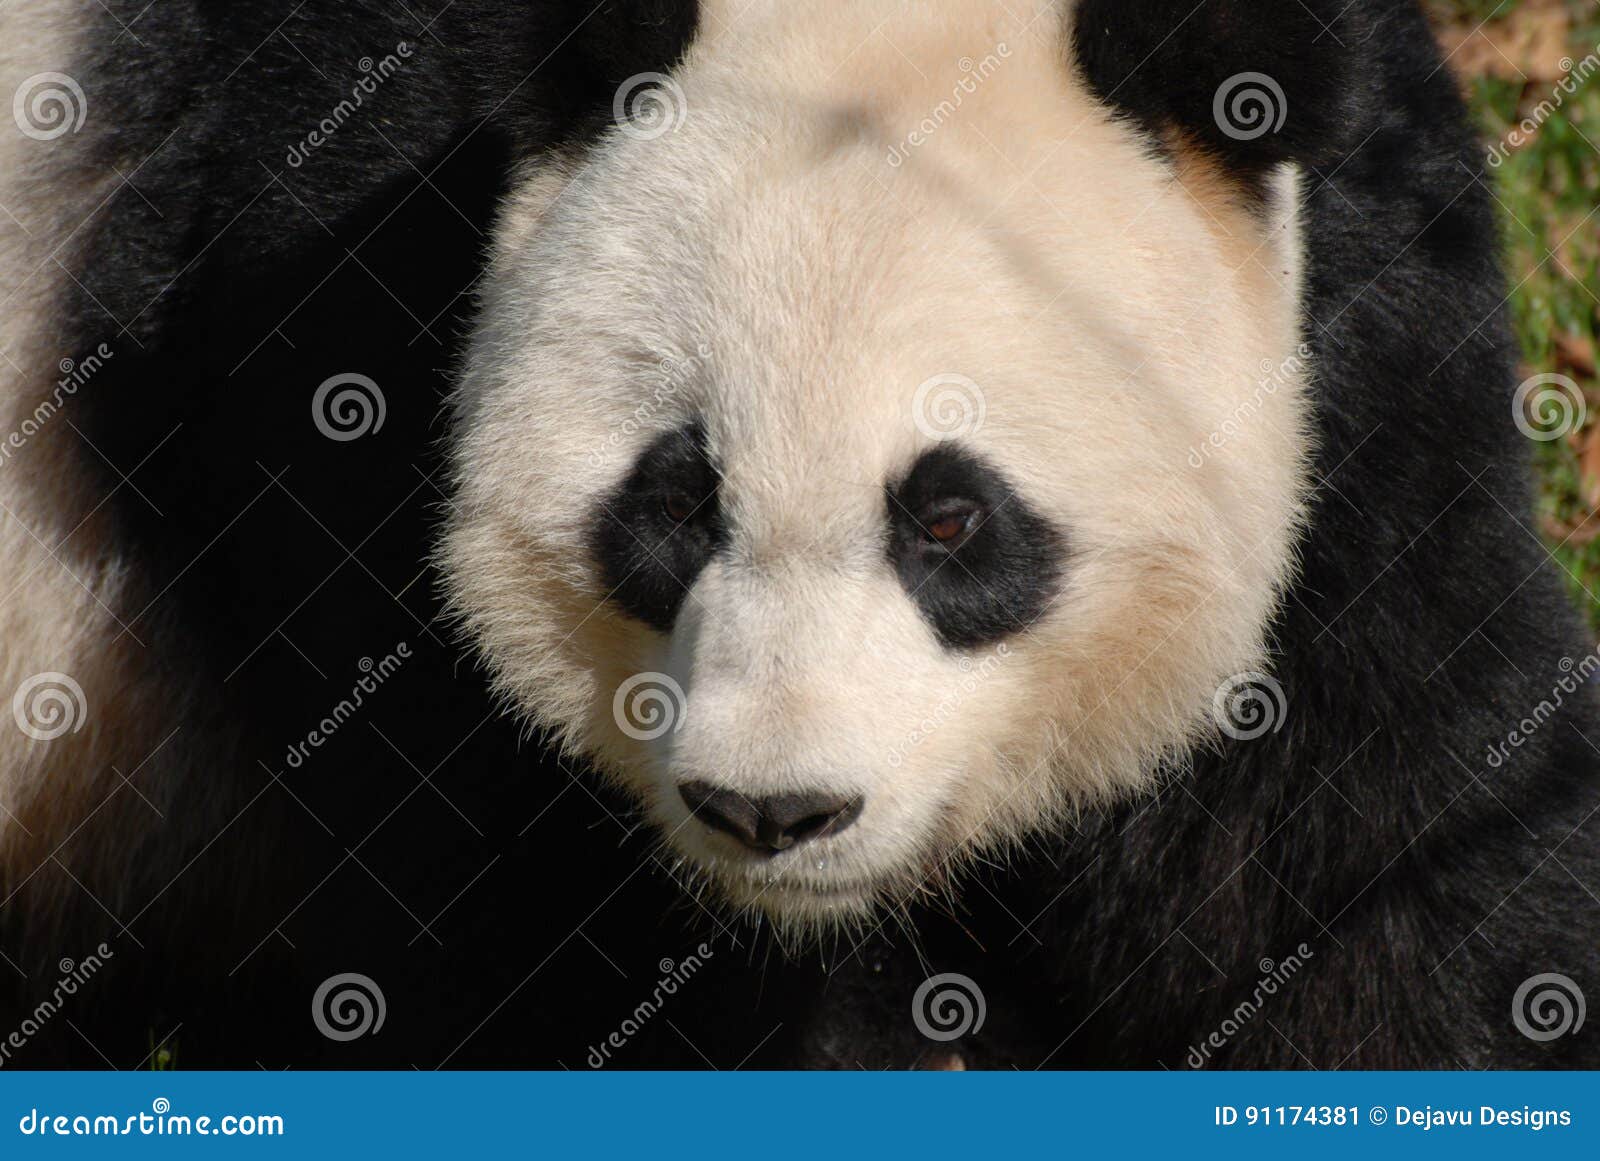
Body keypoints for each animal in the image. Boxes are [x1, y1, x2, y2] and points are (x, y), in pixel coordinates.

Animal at [0, 0, 1595, 1070]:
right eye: (678, 500)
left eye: (949, 516)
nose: (776, 813)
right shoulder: (307, 340)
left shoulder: (1371, 361)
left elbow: (1376, 858)